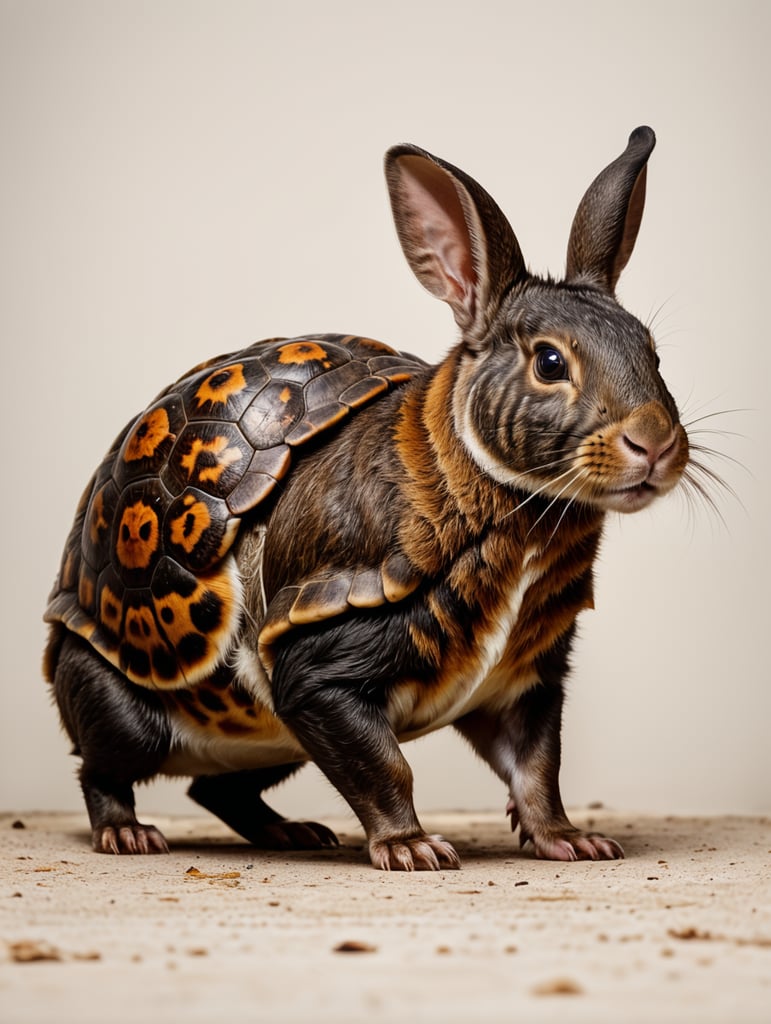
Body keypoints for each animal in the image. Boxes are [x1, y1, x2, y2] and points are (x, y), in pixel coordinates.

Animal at [44, 126, 689, 870]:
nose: (655, 441)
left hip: (265, 743)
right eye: (550, 362)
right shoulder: (317, 664)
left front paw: (567, 837)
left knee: (219, 787)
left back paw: (287, 830)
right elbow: (383, 765)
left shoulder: (527, 674)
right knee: (104, 761)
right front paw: (410, 846)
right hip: (113, 689)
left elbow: (537, 765)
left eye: (652, 352)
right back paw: (124, 831)